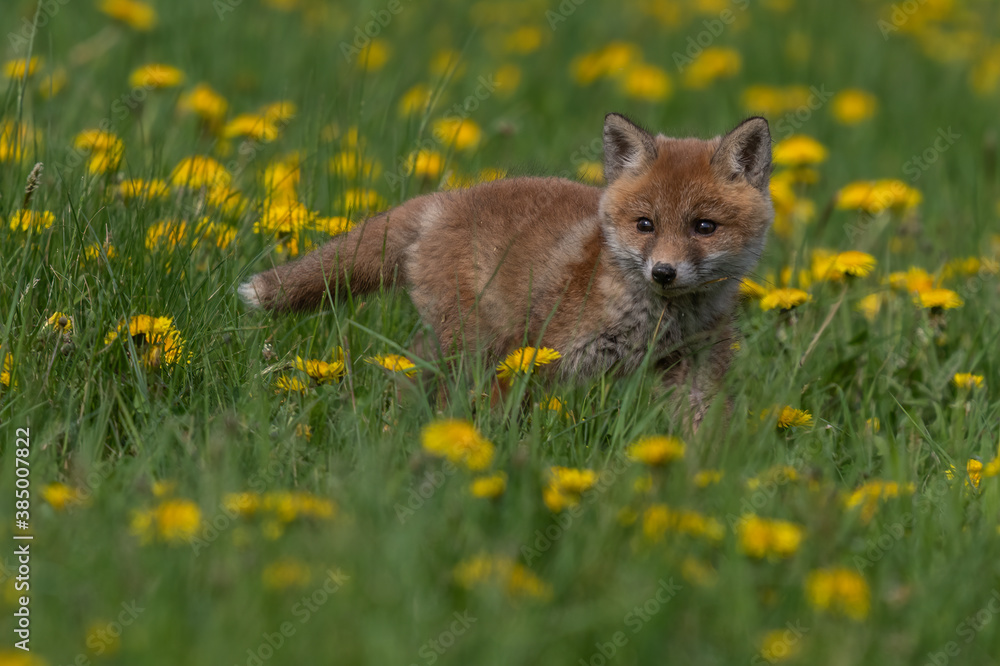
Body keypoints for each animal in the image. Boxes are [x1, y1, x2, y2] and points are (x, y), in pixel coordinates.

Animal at [239, 113, 774, 427]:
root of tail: (445, 199)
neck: (653, 323)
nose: (663, 272)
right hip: (477, 345)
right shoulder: (534, 355)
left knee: (410, 373)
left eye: (704, 227)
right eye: (645, 225)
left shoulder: (696, 370)